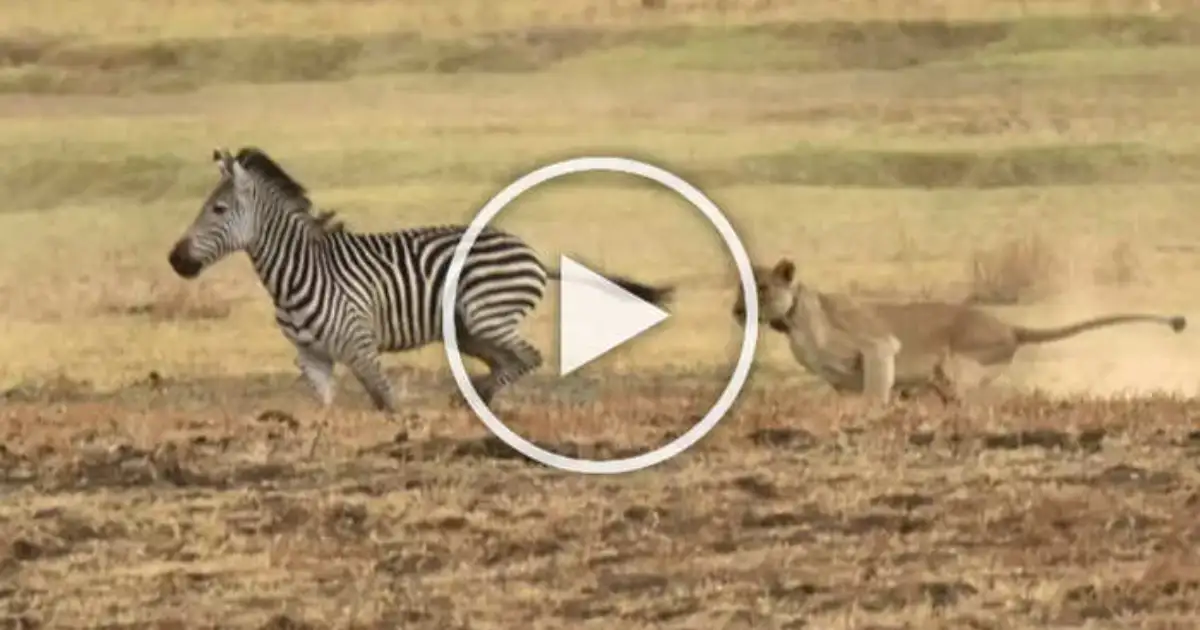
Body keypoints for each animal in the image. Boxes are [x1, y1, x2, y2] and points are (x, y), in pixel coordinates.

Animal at [167, 146, 673, 413]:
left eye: (218, 209)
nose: (175, 260)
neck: (297, 271)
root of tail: (530, 251)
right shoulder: (312, 359)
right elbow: (325, 409)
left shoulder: (360, 345)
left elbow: (386, 402)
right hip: (470, 331)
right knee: (507, 362)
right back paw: (476, 399)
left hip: (485, 317)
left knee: (528, 356)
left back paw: (476, 399)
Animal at [732, 258, 1189, 405]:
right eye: (741, 289)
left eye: (762, 289)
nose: (738, 311)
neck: (794, 322)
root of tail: (1008, 326)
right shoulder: (839, 379)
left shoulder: (880, 346)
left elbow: (876, 391)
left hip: (957, 366)